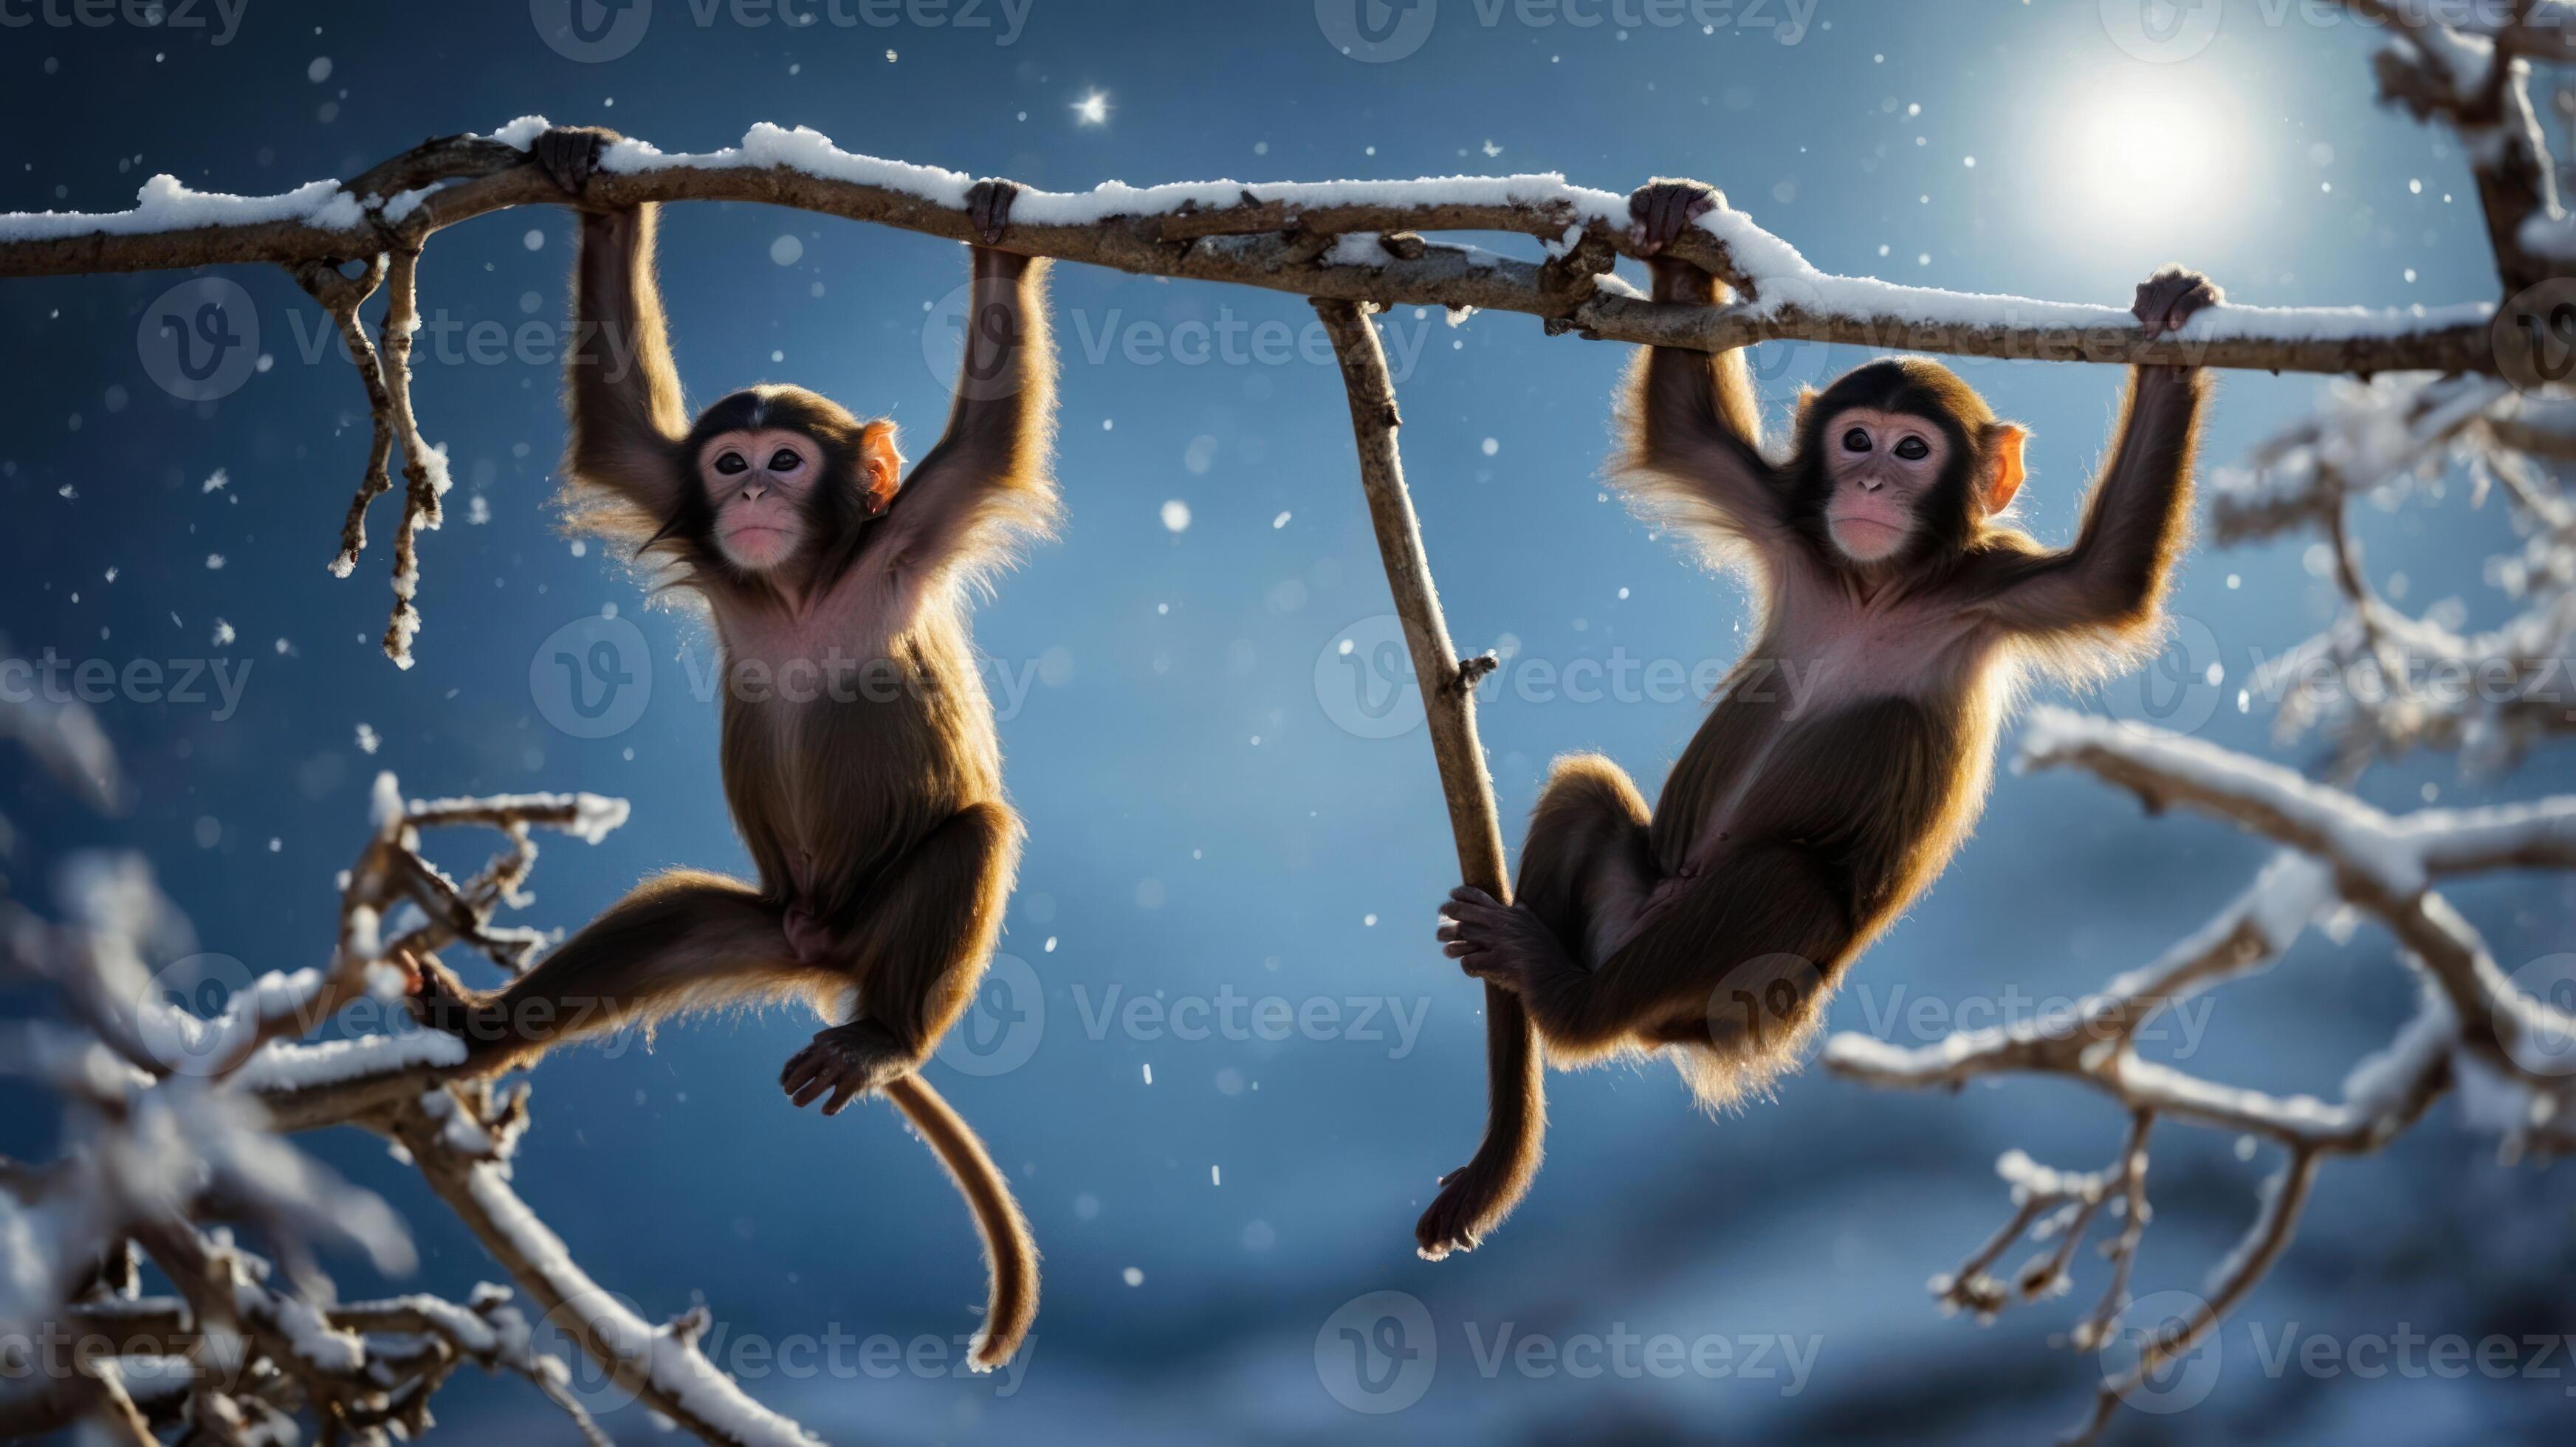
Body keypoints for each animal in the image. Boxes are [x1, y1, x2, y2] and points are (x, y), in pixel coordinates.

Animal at [402, 126, 1054, 1369]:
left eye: (786, 462)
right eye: (727, 463)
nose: (750, 491)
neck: (800, 590)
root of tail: (830, 953)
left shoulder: (912, 529)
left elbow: (987, 435)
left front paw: (999, 242)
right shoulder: (682, 506)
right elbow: (619, 425)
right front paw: (590, 186)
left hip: (885, 921)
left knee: (975, 836)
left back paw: (885, 1042)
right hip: (767, 919)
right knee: (674, 923)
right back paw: (483, 1029)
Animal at [1421, 176, 2220, 1257]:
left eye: (1913, 448)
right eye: (1855, 440)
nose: (1873, 481)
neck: (1876, 588)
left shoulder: (1990, 590)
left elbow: (2110, 578)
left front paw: (2173, 336)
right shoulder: (1789, 523)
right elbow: (1684, 432)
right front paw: (1673, 234)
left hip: (1751, 990)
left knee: (1783, 877)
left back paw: (1563, 999)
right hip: (1638, 914)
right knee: (1588, 796)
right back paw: (1503, 1100)